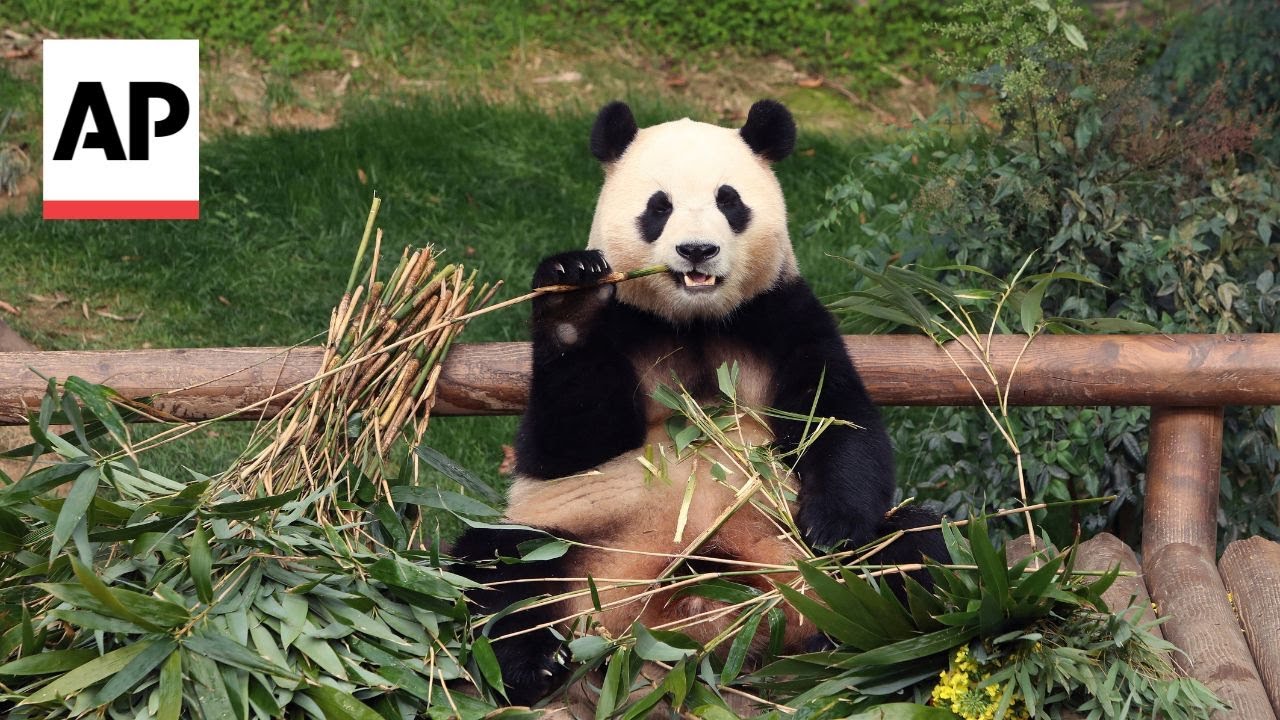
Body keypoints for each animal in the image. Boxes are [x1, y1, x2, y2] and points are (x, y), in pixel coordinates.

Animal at [451, 99, 946, 707]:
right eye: (658, 207)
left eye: (728, 201)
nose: (697, 251)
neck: (694, 320)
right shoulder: (625, 328)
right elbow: (567, 442)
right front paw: (571, 299)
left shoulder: (782, 315)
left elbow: (836, 417)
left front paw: (833, 526)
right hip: (575, 547)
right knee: (499, 569)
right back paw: (536, 663)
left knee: (910, 546)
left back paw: (861, 641)